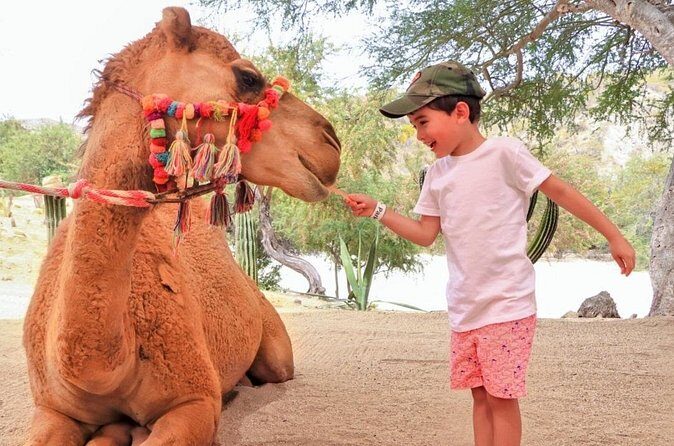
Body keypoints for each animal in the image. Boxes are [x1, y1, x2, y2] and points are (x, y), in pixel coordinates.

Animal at [22, 7, 340, 446]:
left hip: (275, 348)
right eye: (248, 77)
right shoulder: (51, 408)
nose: (331, 145)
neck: (99, 367)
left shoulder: (194, 400)